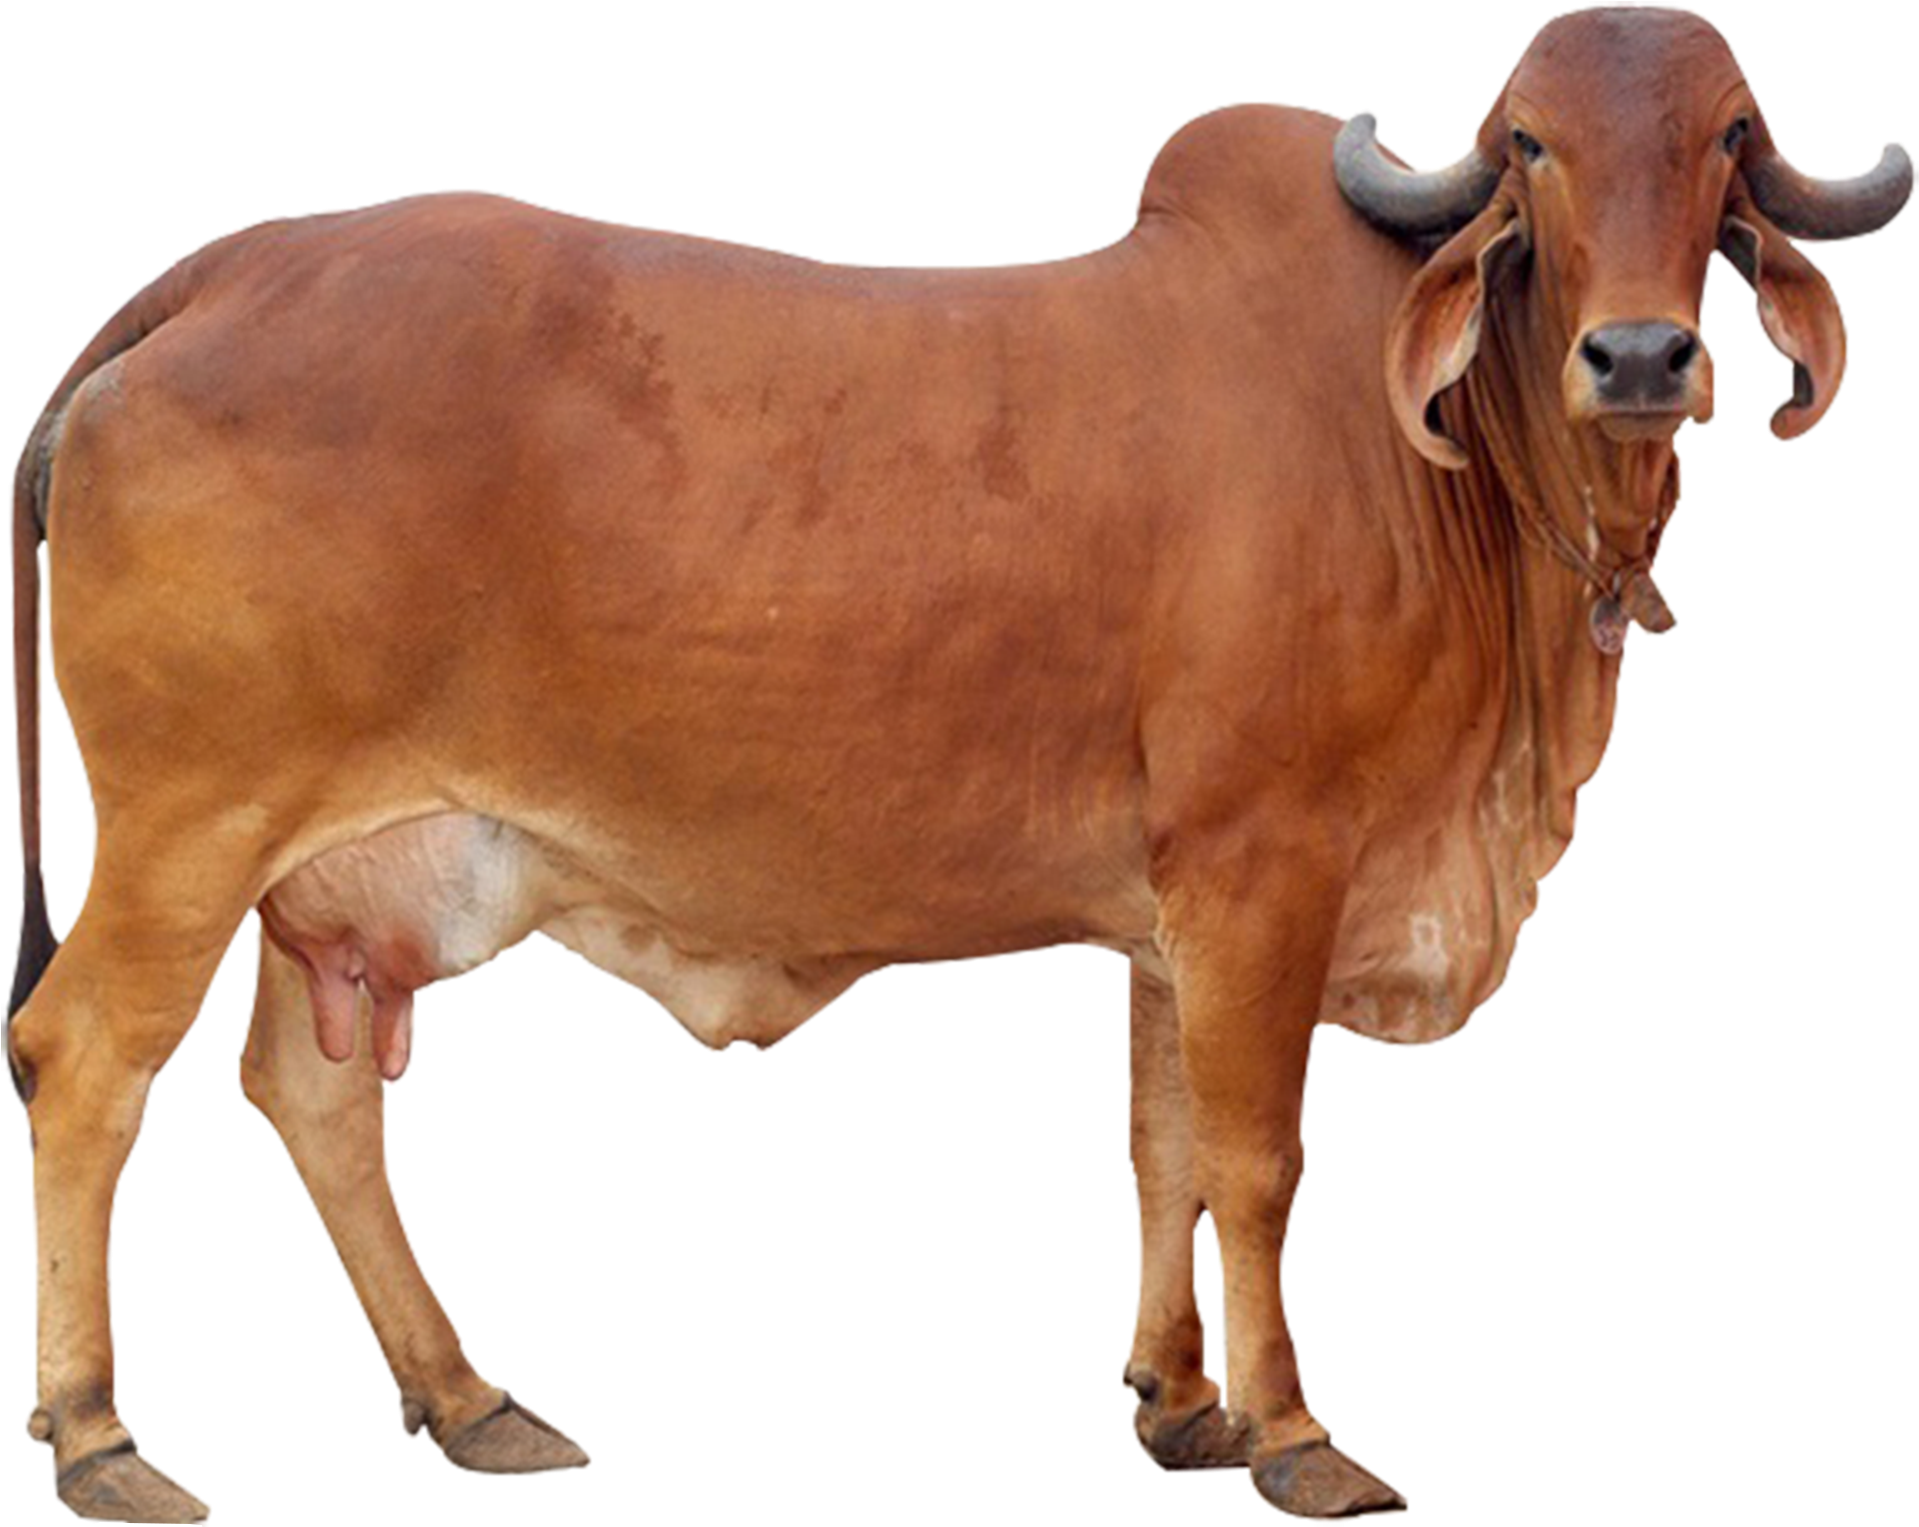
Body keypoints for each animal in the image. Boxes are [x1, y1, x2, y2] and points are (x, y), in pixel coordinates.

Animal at [6, 5, 1911, 1522]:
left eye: (1725, 140)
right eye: (1527, 149)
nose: (1643, 355)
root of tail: (225, 271)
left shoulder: (1169, 911)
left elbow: (1158, 1138)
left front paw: (1180, 1399)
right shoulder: (1265, 865)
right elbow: (1256, 1152)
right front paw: (1294, 1432)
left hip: (320, 871)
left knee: (312, 1093)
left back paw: (468, 1396)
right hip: (184, 831)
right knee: (85, 1059)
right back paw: (100, 1436)